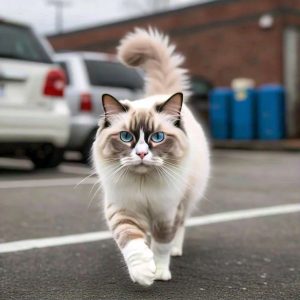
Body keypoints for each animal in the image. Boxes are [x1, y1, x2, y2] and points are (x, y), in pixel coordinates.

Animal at [92, 27, 210, 286]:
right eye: (126, 136)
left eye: (157, 137)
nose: (142, 153)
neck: (143, 183)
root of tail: (161, 94)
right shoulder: (122, 209)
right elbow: (132, 242)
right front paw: (143, 272)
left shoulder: (166, 214)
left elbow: (162, 246)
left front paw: (160, 272)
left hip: (186, 201)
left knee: (181, 227)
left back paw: (176, 250)